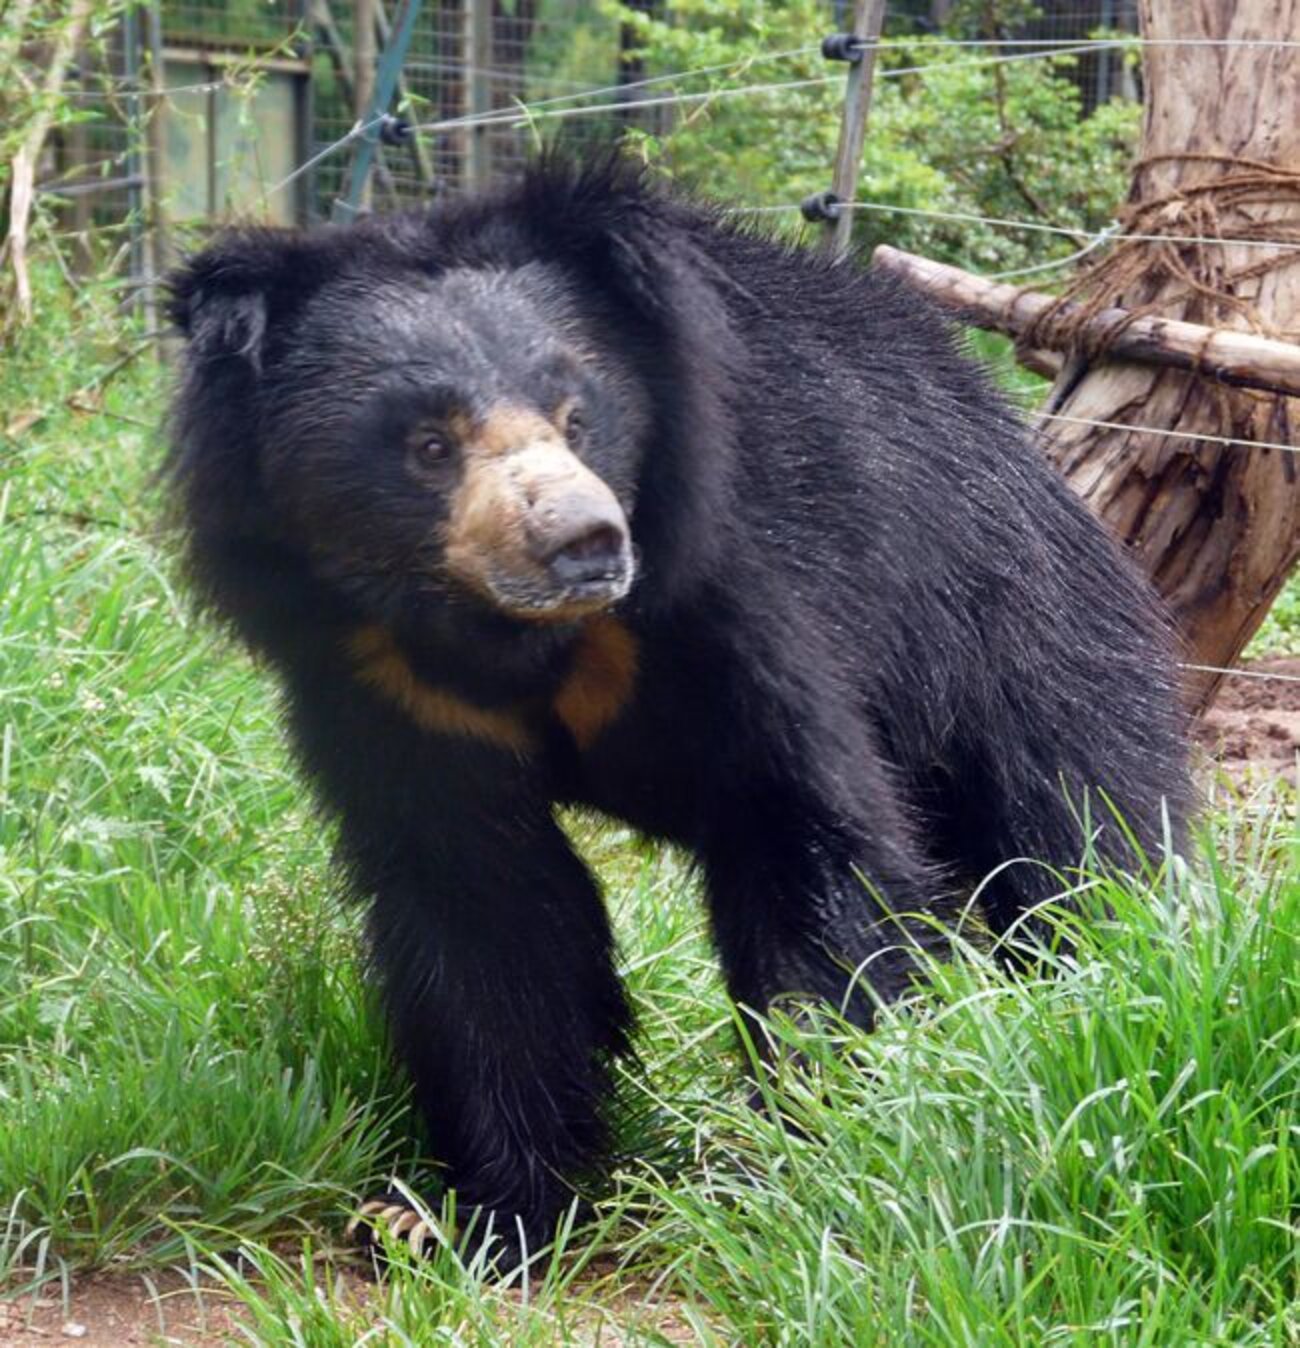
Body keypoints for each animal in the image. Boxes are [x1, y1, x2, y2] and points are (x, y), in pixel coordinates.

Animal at [164, 156, 1190, 1268]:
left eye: (577, 413)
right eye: (430, 443)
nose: (585, 540)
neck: (513, 635)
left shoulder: (736, 600)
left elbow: (805, 838)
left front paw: (791, 1163)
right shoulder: (387, 682)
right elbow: (482, 903)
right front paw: (469, 1214)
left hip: (1018, 637)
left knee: (1079, 832)